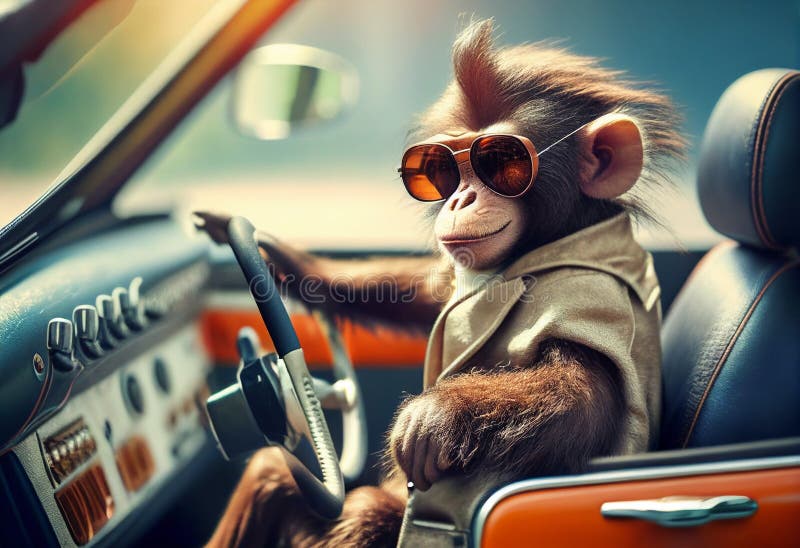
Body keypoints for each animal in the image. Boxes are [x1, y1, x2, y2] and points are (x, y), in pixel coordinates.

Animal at [196, 17, 685, 547]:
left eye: (503, 161)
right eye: (435, 167)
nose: (460, 198)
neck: (554, 244)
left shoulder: (590, 301)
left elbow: (577, 394)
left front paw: (435, 415)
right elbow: (429, 292)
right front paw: (266, 250)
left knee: (351, 508)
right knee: (273, 475)